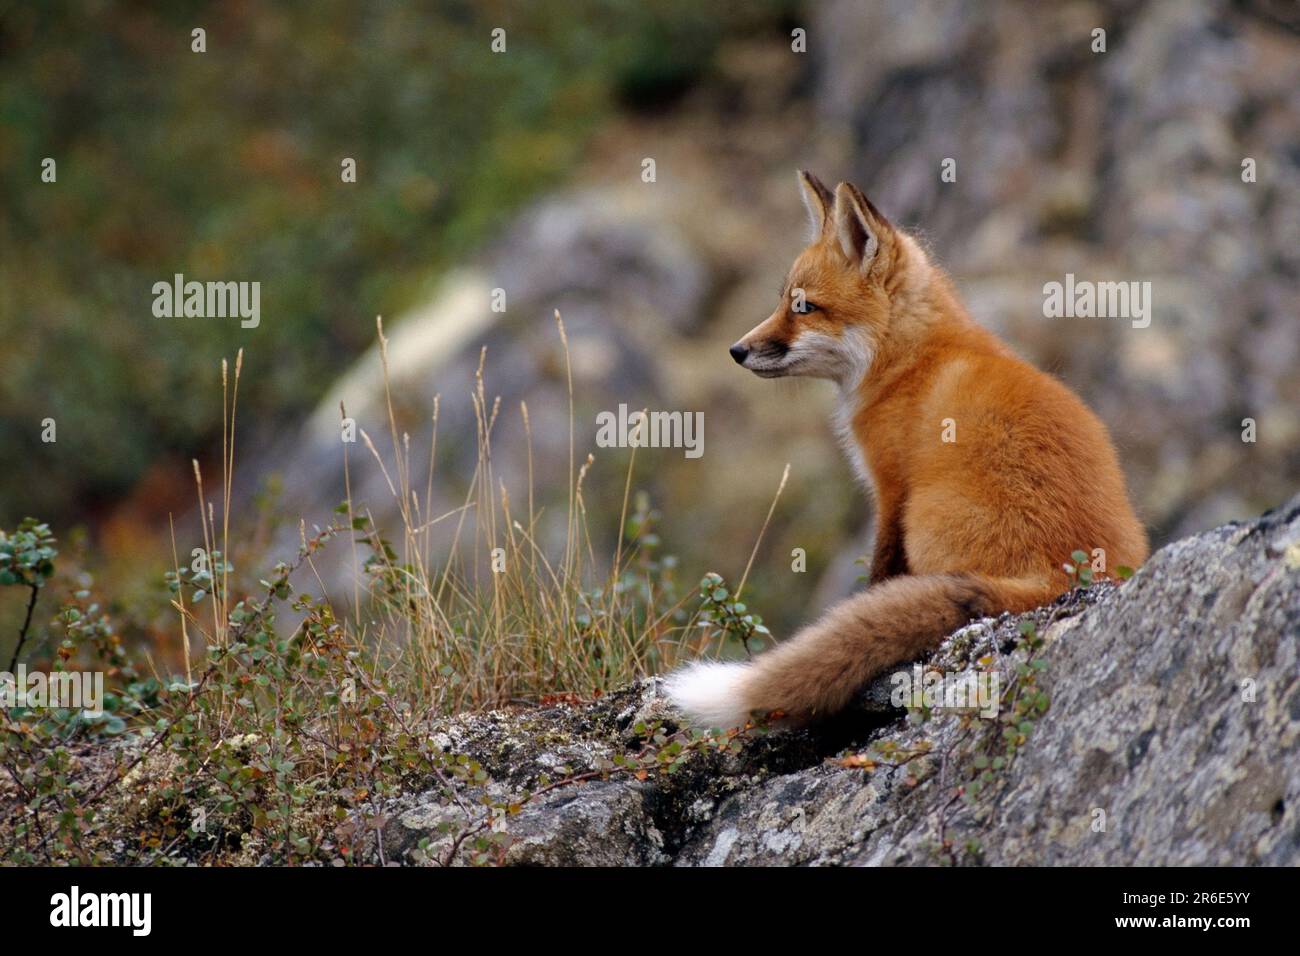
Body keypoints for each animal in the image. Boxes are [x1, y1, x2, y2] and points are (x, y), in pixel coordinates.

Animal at [666, 171, 1148, 730]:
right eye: (784, 300)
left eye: (803, 307)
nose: (736, 350)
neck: (908, 361)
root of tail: (1067, 579)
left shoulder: (891, 487)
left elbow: (880, 570)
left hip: (927, 519)